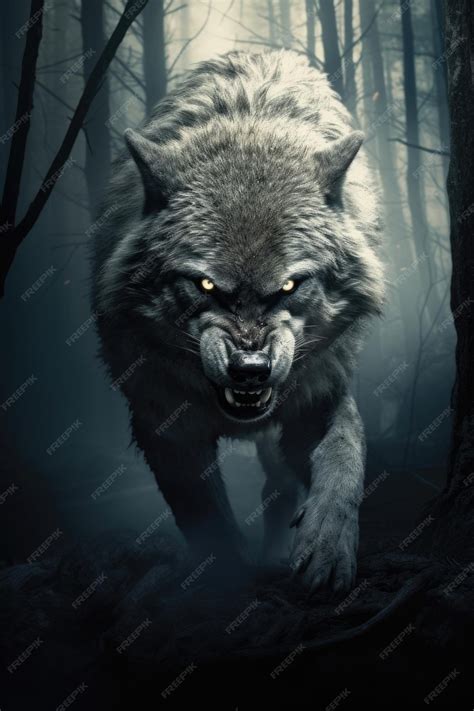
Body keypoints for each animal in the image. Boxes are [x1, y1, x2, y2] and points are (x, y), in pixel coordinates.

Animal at [92, 50, 384, 592]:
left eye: (289, 286)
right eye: (206, 285)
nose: (251, 369)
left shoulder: (319, 394)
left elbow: (346, 453)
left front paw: (328, 547)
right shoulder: (162, 424)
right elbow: (207, 520)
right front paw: (226, 581)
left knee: (277, 487)